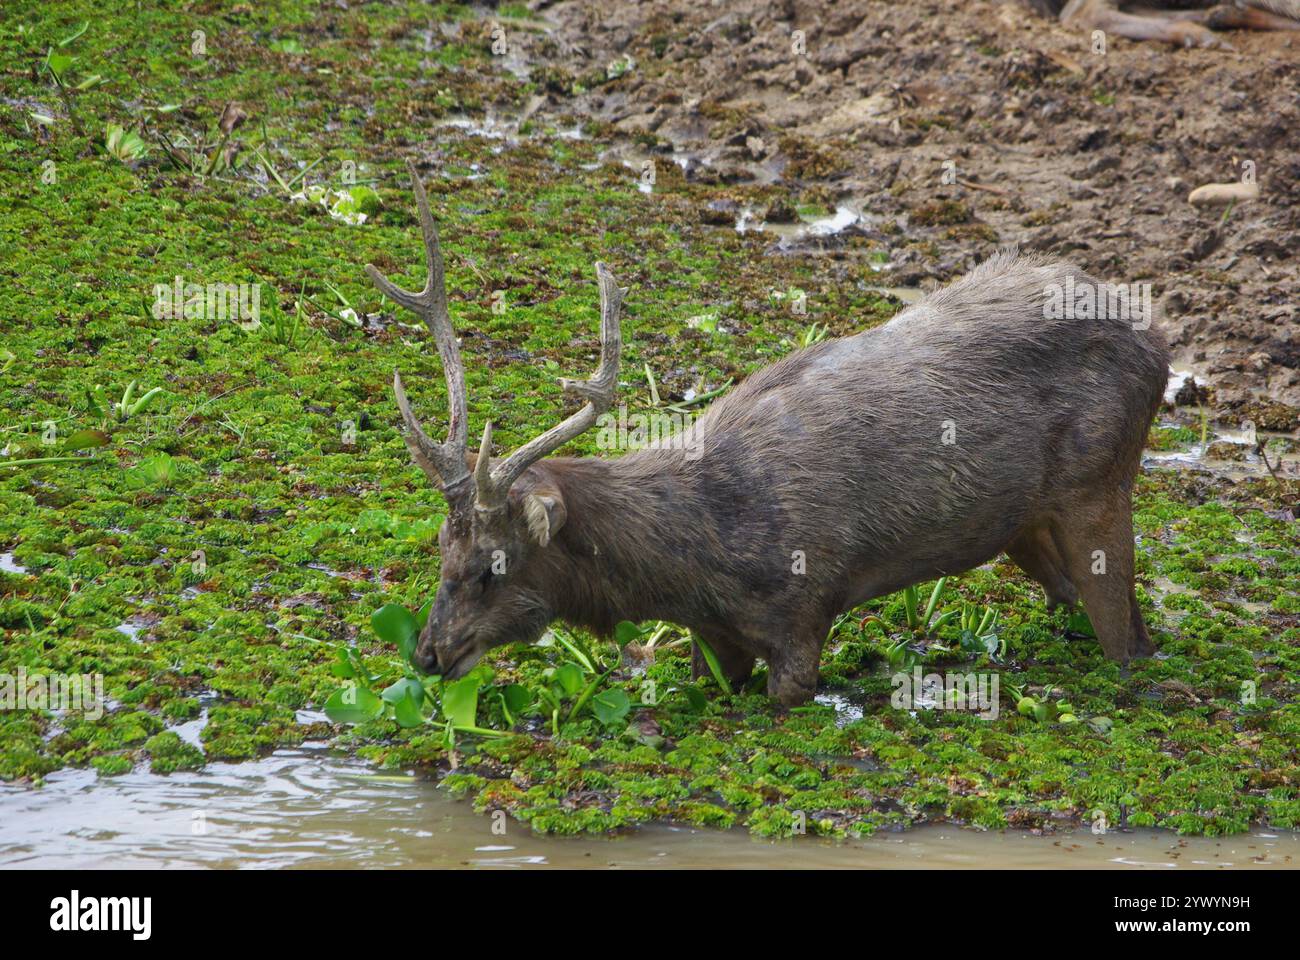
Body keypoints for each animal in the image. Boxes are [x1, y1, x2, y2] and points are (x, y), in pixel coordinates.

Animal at [366, 161, 1171, 707]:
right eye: (440, 550)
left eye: (491, 567)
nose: (427, 655)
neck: (700, 563)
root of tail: (1157, 336)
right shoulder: (714, 637)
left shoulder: (805, 608)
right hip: (1021, 525)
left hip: (1101, 480)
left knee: (1129, 639)